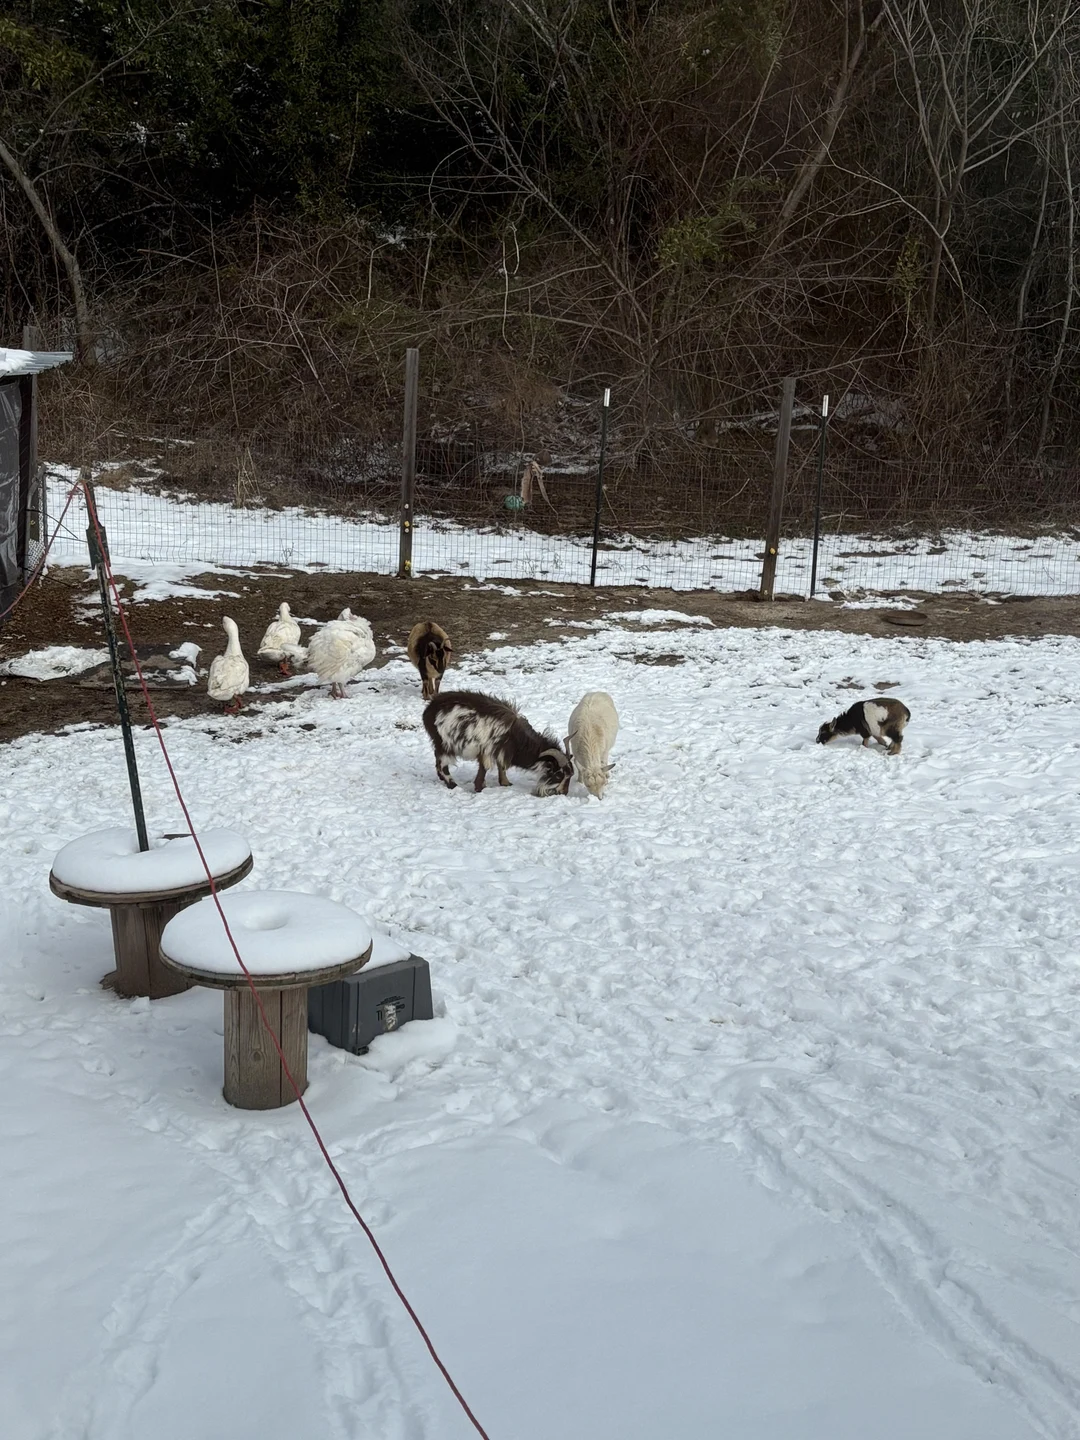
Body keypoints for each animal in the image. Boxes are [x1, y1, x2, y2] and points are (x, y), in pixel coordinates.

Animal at [423, 690, 572, 796]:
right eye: (559, 775)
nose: (563, 793)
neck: (517, 738)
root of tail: (428, 710)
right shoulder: (489, 750)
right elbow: (485, 768)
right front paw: (479, 788)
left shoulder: (501, 751)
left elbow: (502, 766)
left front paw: (505, 783)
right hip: (444, 743)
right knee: (443, 764)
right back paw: (452, 785)